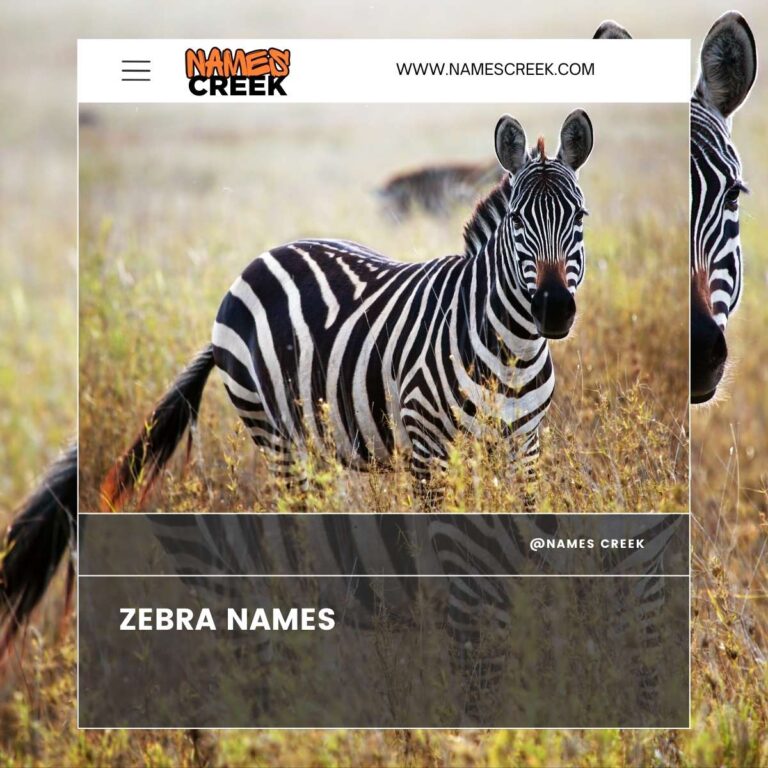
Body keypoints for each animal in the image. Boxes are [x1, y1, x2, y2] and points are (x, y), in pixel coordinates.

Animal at [100, 110, 594, 512]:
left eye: (580, 218)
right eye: (517, 220)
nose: (553, 309)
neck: (512, 353)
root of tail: (259, 260)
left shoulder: (524, 447)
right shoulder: (427, 449)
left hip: (316, 438)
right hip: (275, 434)